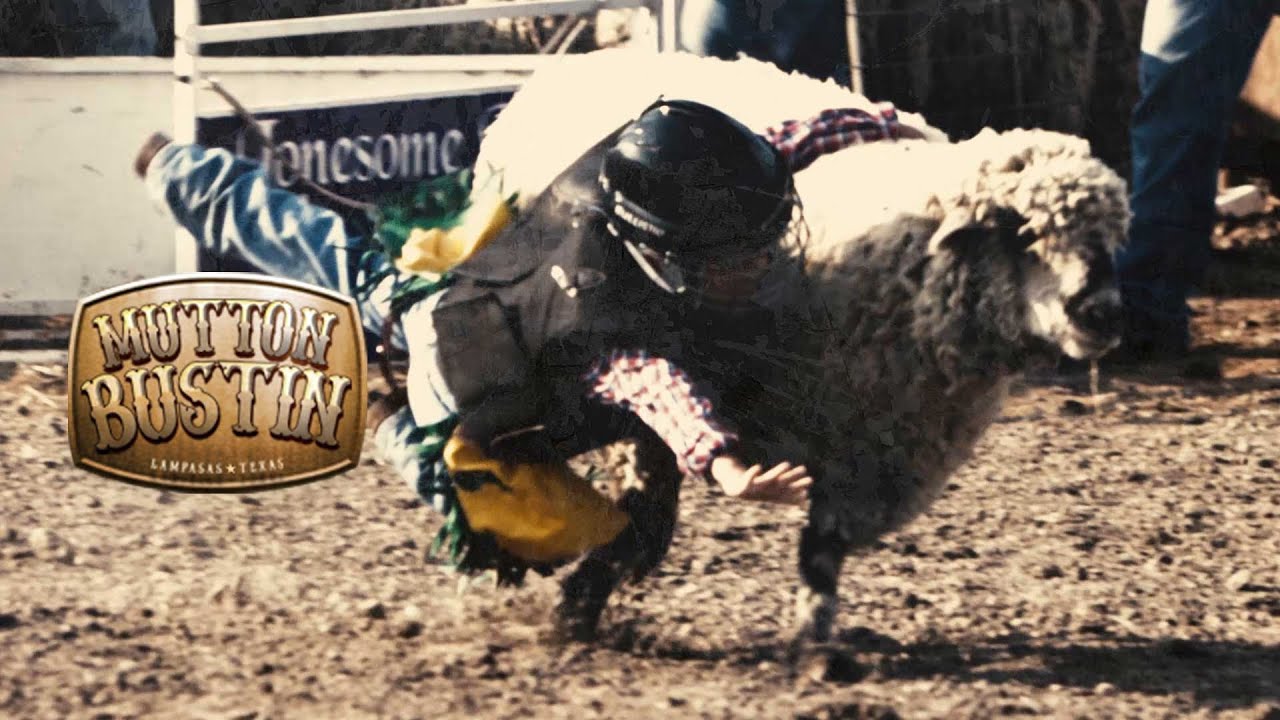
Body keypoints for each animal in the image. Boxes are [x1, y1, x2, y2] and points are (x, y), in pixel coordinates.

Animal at [470, 50, 1129, 654]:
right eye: (1021, 232)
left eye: (1110, 236)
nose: (1101, 312)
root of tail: (575, 61)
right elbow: (645, 516)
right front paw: (576, 607)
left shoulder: (877, 458)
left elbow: (822, 550)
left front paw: (813, 640)